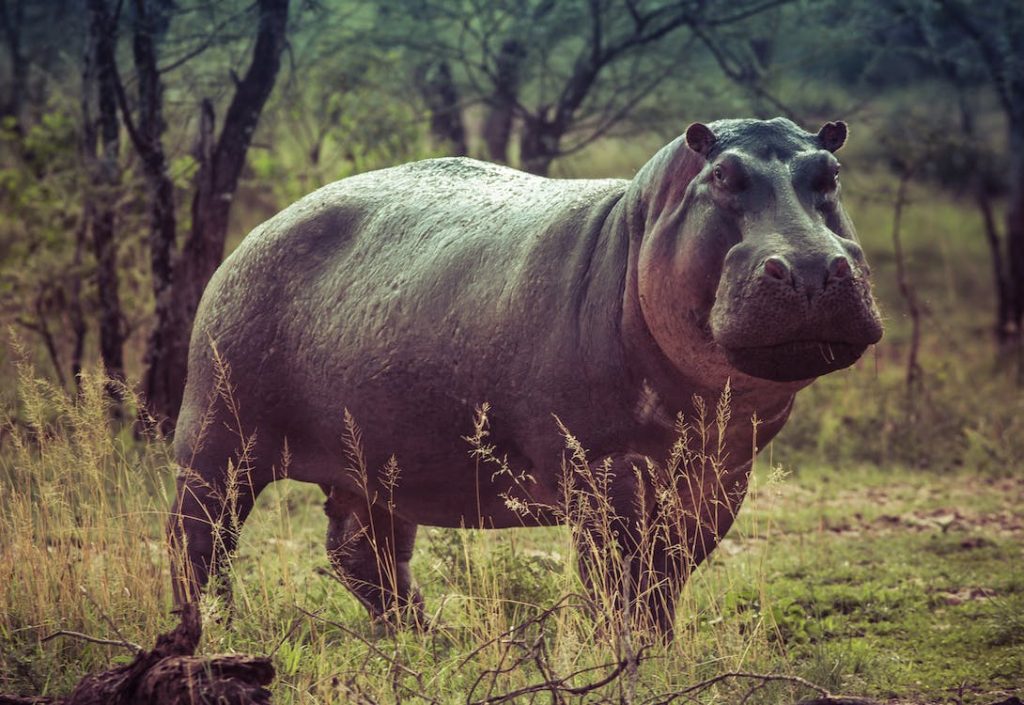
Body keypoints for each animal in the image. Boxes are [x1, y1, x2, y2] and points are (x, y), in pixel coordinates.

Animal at [168, 117, 883, 635]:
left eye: (831, 174)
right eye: (724, 175)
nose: (812, 267)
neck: (638, 228)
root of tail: (263, 226)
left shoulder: (720, 476)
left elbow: (664, 581)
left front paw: (657, 650)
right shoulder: (604, 472)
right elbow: (616, 581)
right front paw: (620, 657)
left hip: (373, 462)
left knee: (363, 553)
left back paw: (426, 640)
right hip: (218, 437)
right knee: (197, 539)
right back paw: (209, 633)